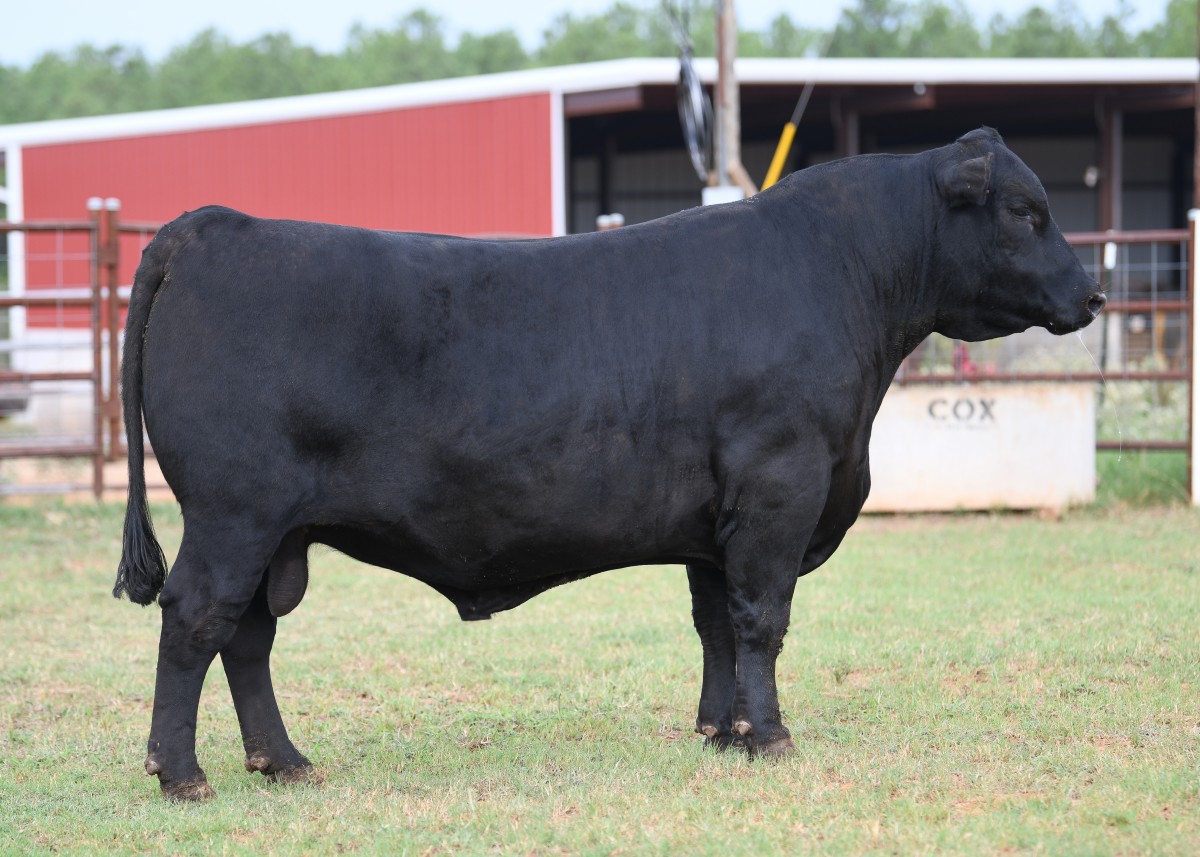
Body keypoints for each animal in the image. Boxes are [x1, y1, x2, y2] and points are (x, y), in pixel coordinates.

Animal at [114, 127, 1104, 800]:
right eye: (1027, 212)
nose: (1093, 292)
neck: (842, 277)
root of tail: (217, 225)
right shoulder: (779, 491)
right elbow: (763, 620)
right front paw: (771, 736)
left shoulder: (717, 522)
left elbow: (716, 625)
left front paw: (722, 731)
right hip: (234, 513)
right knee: (195, 619)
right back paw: (182, 772)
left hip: (274, 529)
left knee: (246, 635)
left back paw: (283, 761)